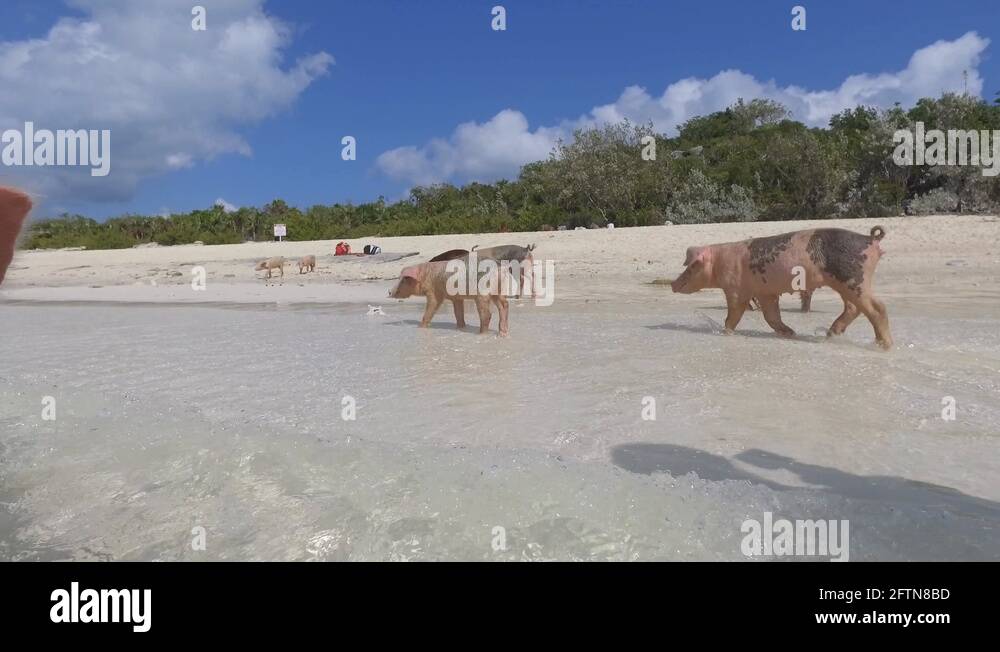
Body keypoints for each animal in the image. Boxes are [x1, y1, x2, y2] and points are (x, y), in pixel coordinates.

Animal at [672, 226, 891, 349]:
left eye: (690, 266)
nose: (673, 284)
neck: (719, 262)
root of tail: (871, 239)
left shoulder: (734, 289)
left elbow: (733, 313)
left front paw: (725, 333)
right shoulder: (766, 293)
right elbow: (771, 316)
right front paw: (791, 333)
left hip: (853, 278)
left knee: (877, 307)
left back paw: (884, 346)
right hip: (847, 282)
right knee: (854, 308)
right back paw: (830, 335)